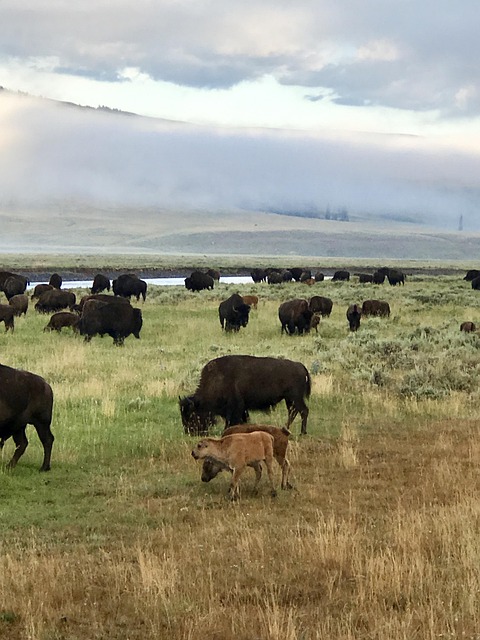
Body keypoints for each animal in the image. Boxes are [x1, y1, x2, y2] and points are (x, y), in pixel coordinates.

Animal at [179, 354, 311, 435]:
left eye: (192, 415)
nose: (190, 432)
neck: (217, 380)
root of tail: (300, 366)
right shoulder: (241, 409)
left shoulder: (235, 408)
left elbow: (232, 422)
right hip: (289, 399)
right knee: (293, 412)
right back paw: (286, 429)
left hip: (295, 398)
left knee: (303, 411)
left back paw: (302, 432)